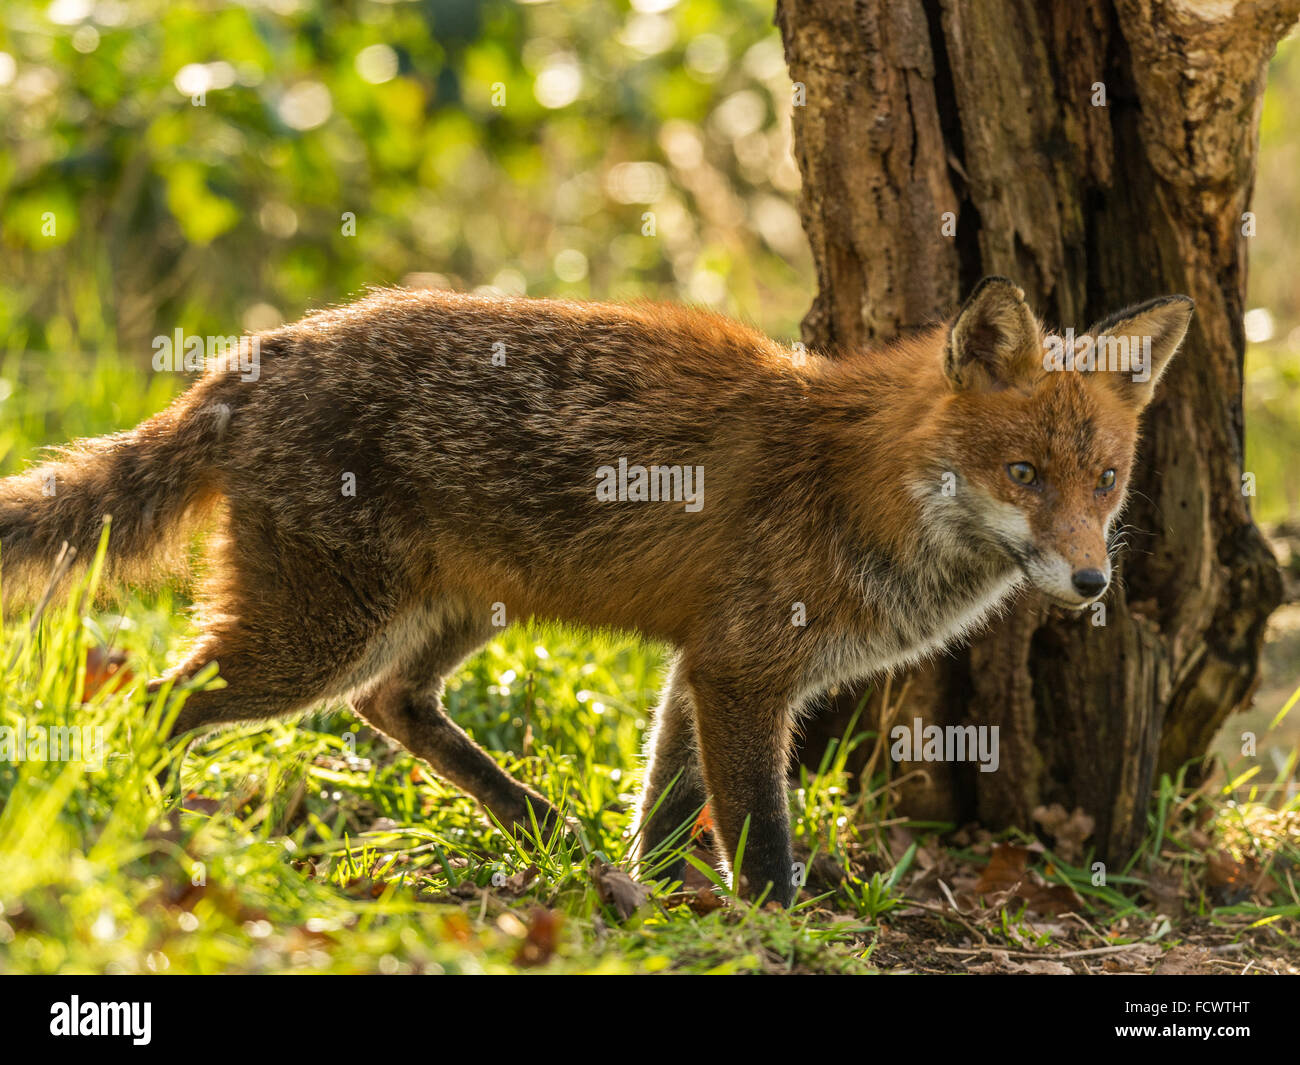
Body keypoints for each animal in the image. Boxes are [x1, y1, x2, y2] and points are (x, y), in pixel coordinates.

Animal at [0, 276, 1192, 906]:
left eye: (1104, 480)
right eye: (1022, 475)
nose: (1090, 579)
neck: (868, 486)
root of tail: (261, 352)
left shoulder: (704, 663)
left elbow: (667, 806)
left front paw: (657, 902)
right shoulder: (745, 670)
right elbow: (759, 832)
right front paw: (772, 927)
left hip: (446, 615)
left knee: (393, 707)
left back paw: (545, 832)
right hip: (319, 635)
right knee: (157, 700)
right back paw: (152, 825)